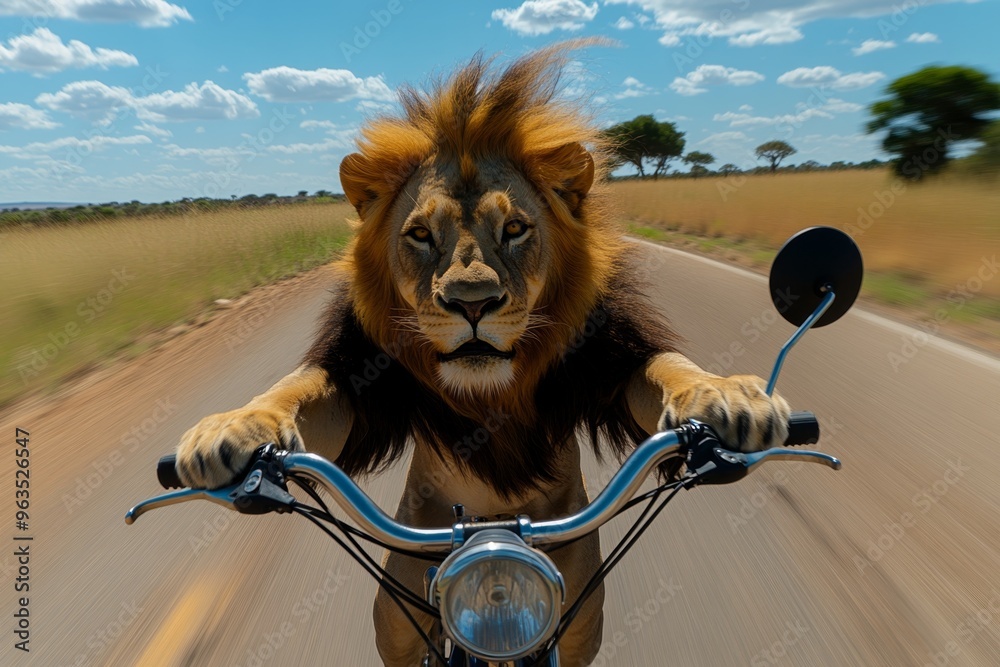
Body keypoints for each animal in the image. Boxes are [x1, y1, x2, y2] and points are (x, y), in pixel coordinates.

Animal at [174, 40, 791, 666]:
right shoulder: (359, 375)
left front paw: (723, 398)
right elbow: (298, 390)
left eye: (515, 228)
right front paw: (235, 431)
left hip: (581, 610)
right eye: (421, 235)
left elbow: (665, 368)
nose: (473, 302)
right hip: (401, 603)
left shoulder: (609, 360)